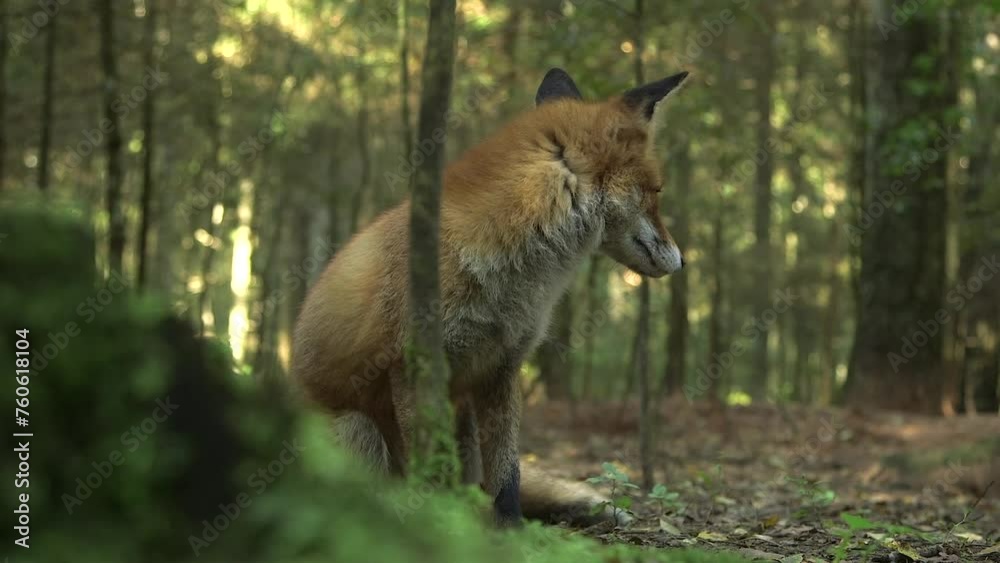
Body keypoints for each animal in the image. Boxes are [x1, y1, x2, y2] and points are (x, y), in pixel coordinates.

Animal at [291, 67, 688, 526]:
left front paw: (510, 529)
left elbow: (507, 474)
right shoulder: (413, 364)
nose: (682, 262)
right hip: (358, 428)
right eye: (657, 191)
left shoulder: (503, 364)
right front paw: (436, 522)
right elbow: (427, 465)